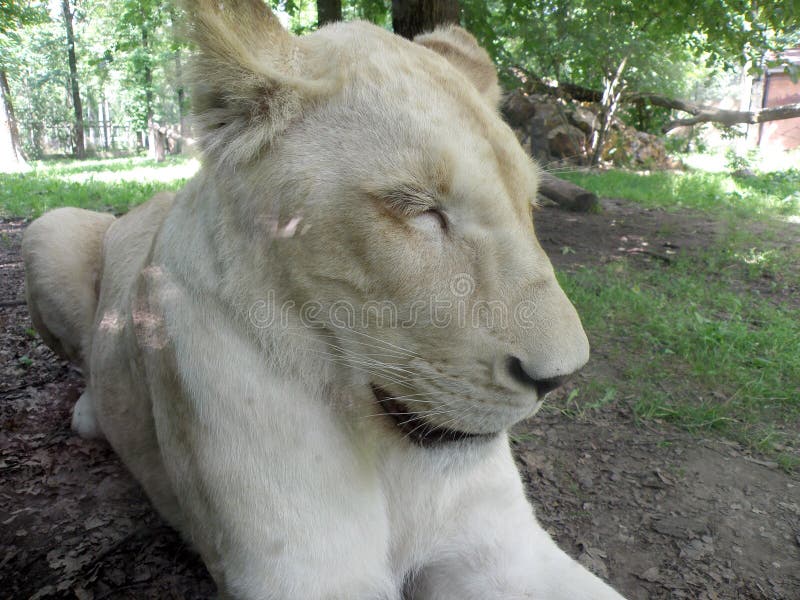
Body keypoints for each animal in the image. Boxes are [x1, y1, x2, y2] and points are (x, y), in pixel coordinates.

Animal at [22, 2, 626, 598]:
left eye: (531, 205)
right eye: (417, 208)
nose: (558, 379)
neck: (391, 455)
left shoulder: (501, 545)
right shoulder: (306, 572)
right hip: (47, 229)